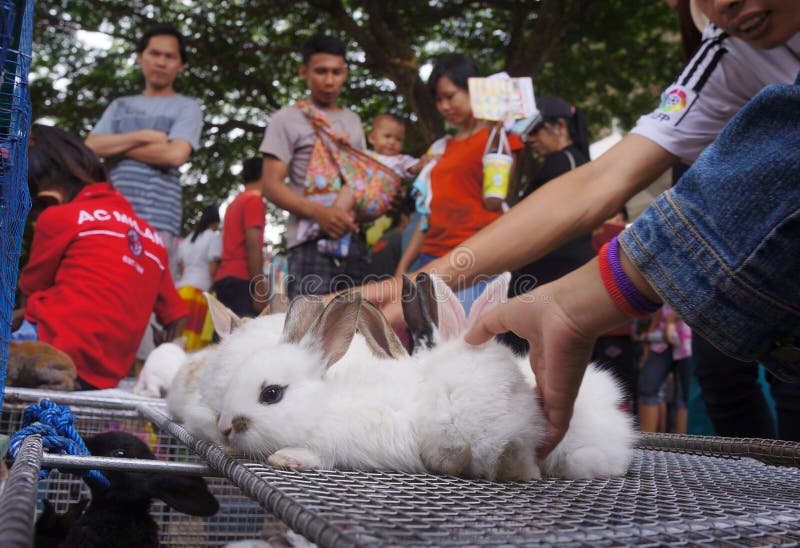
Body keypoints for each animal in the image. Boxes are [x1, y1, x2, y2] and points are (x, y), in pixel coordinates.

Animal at [218, 291, 544, 481]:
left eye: (271, 394)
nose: (224, 428)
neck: (323, 404)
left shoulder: (339, 443)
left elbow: (319, 456)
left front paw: (286, 457)